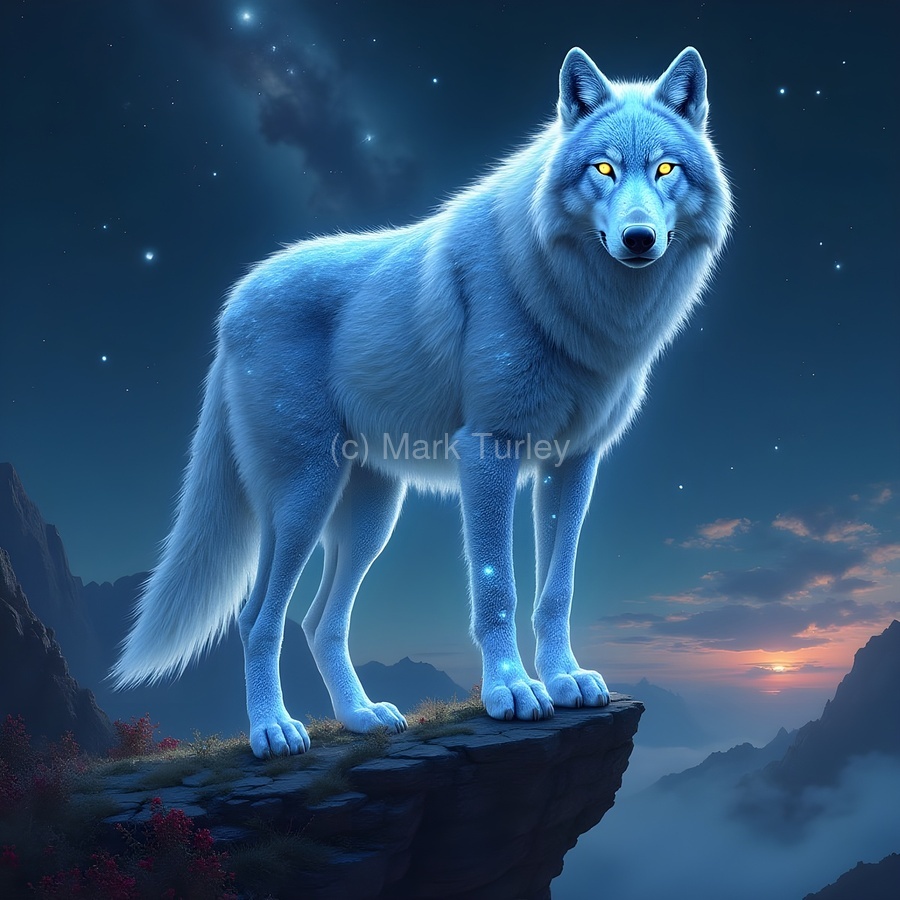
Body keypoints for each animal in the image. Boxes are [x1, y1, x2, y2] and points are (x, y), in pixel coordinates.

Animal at [113, 47, 732, 758]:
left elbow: (557, 590)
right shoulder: (489, 449)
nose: (637, 239)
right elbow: (498, 587)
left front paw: (565, 679)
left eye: (666, 169)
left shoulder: (573, 463)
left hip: (372, 515)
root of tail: (231, 305)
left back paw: (361, 718)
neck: (578, 307)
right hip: (304, 498)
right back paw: (273, 730)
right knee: (257, 618)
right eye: (602, 168)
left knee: (319, 621)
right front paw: (511, 691)